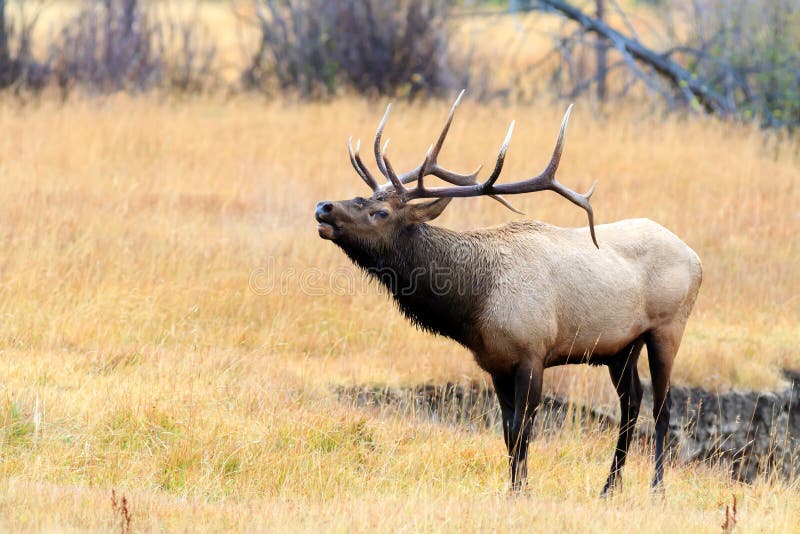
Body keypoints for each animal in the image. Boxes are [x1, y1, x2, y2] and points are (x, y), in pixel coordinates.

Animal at [314, 91, 702, 494]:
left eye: (381, 211)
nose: (324, 206)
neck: (474, 304)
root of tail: (696, 258)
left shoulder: (533, 352)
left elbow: (522, 431)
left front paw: (522, 492)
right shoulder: (495, 363)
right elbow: (506, 434)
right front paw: (515, 489)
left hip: (667, 328)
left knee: (662, 408)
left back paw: (656, 488)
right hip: (621, 347)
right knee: (631, 403)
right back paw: (608, 488)